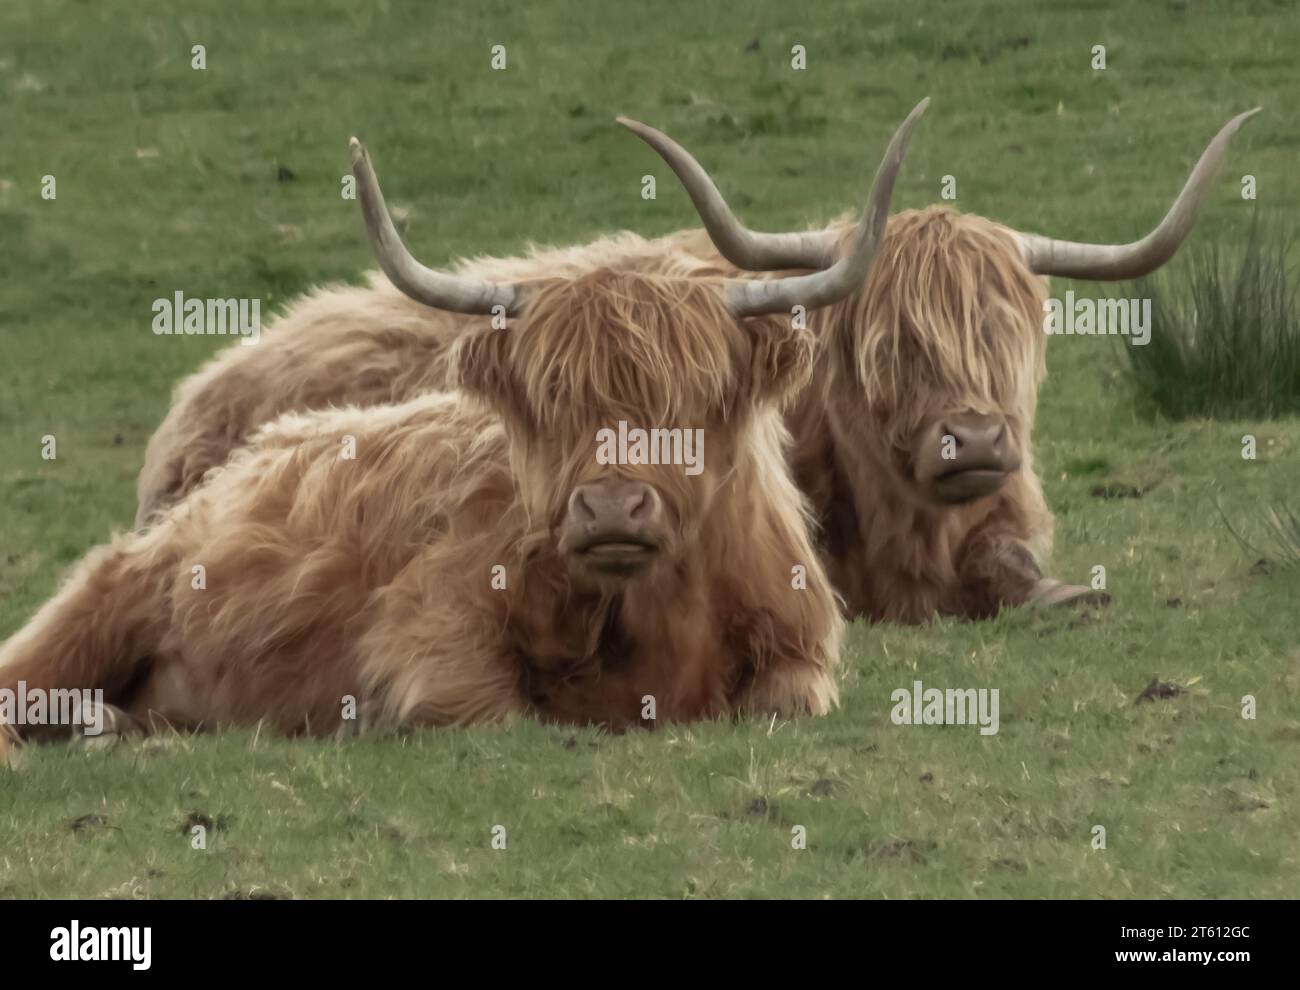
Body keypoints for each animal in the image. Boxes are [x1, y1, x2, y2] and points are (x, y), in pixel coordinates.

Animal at [0, 105, 924, 758]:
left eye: (693, 397)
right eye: (550, 398)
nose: (612, 511)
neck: (661, 620)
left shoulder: (802, 651)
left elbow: (786, 698)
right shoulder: (431, 630)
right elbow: (492, 709)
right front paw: (369, 721)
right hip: (95, 606)